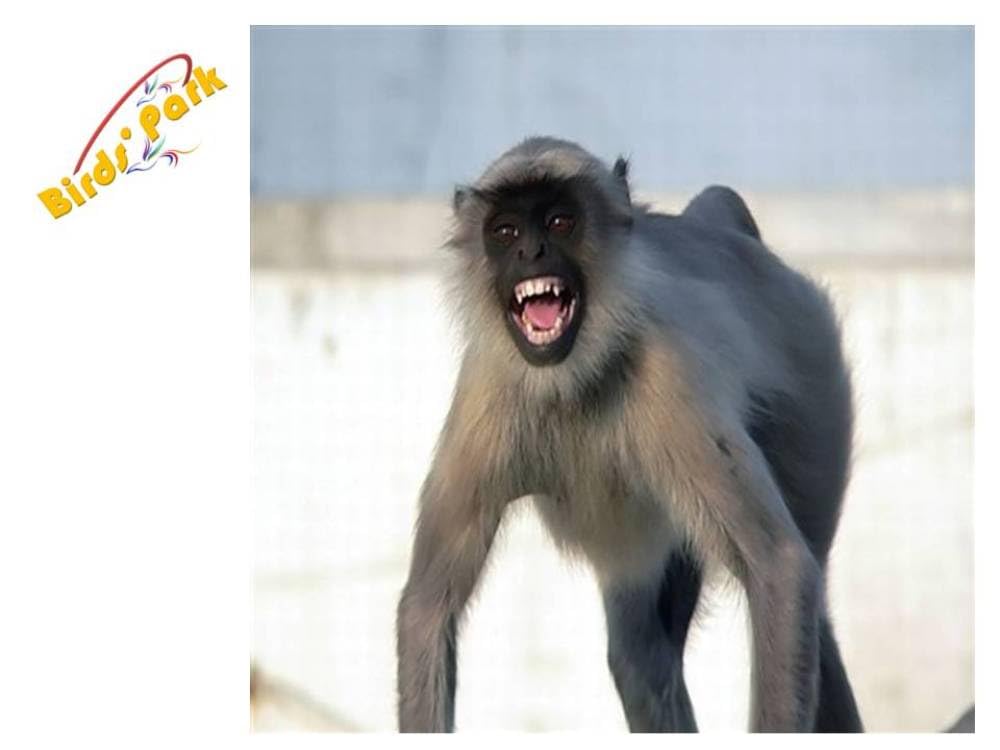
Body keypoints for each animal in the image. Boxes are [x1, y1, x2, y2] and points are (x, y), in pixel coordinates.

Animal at [395, 136, 862, 733]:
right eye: (505, 232)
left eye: (559, 221)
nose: (532, 253)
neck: (572, 377)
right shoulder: (488, 388)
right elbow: (428, 609)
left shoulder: (666, 377)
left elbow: (780, 568)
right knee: (639, 657)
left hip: (812, 387)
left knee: (811, 602)